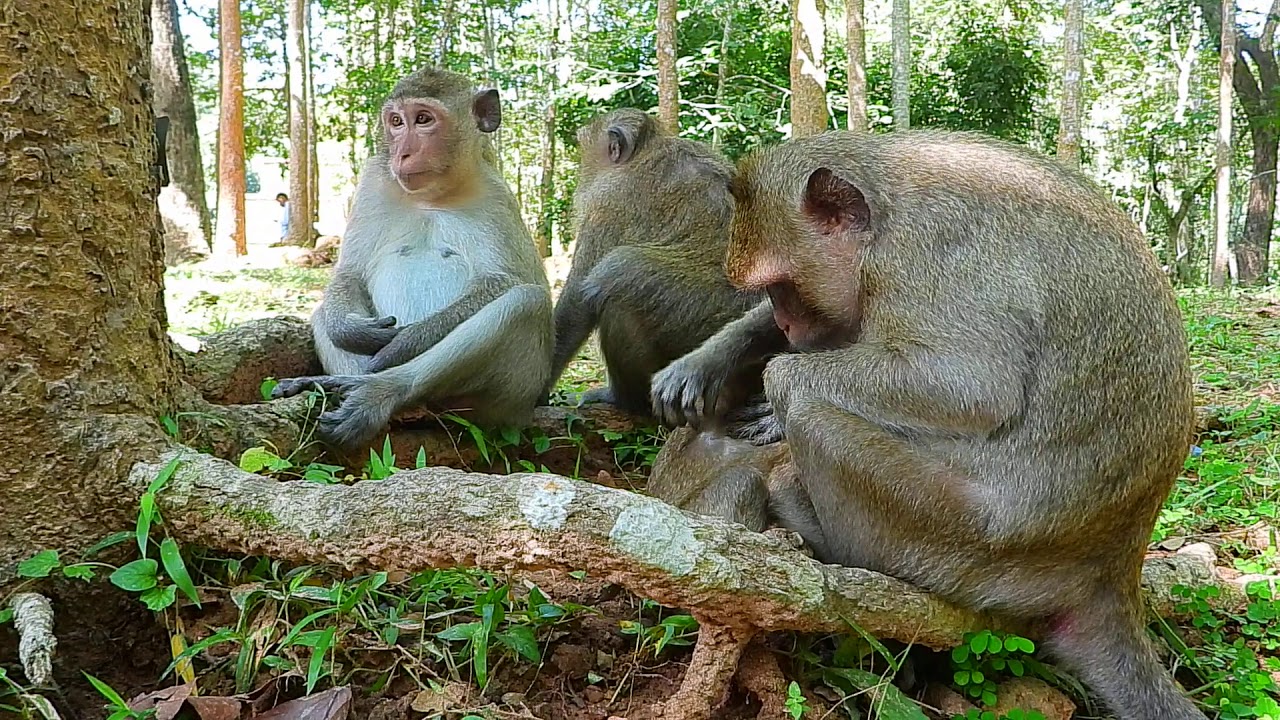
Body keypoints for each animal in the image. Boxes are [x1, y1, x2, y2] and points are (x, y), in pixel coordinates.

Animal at [272, 68, 553, 451]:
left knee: (527, 303)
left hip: (507, 403)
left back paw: (380, 390)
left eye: (423, 119)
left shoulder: (497, 197)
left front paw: (402, 345)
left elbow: (502, 282)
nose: (402, 154)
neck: (431, 197)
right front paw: (356, 333)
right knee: (323, 312)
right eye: (395, 122)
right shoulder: (373, 182)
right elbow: (350, 274)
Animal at [548, 108, 761, 413]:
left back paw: (625, 399)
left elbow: (576, 303)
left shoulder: (608, 204)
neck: (646, 149)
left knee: (614, 284)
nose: (578, 175)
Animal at [650, 130, 1204, 720]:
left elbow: (975, 385)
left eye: (786, 287)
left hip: (960, 542)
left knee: (816, 417)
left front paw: (774, 395)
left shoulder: (930, 261)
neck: (885, 218)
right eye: (770, 293)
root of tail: (1113, 571)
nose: (784, 322)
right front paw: (703, 363)